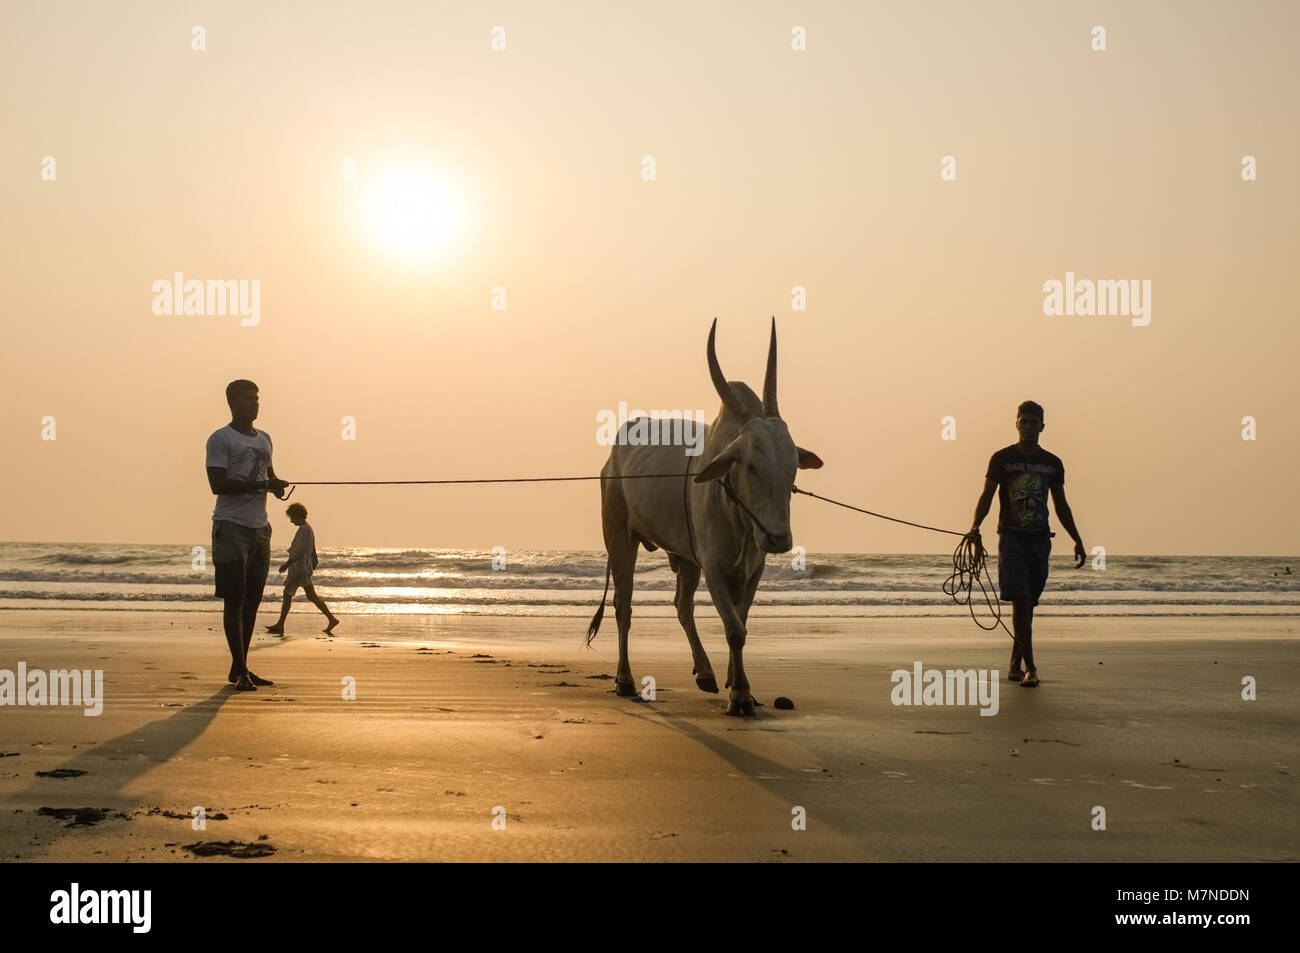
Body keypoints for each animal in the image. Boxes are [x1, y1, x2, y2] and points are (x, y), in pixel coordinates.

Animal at [587, 319, 823, 715]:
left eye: (793, 465)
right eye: (750, 465)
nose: (778, 538)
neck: (739, 519)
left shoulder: (752, 567)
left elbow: (740, 622)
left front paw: (736, 685)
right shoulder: (712, 565)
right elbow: (733, 628)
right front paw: (740, 695)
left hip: (684, 556)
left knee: (682, 607)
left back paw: (706, 672)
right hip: (620, 539)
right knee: (623, 606)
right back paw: (624, 679)